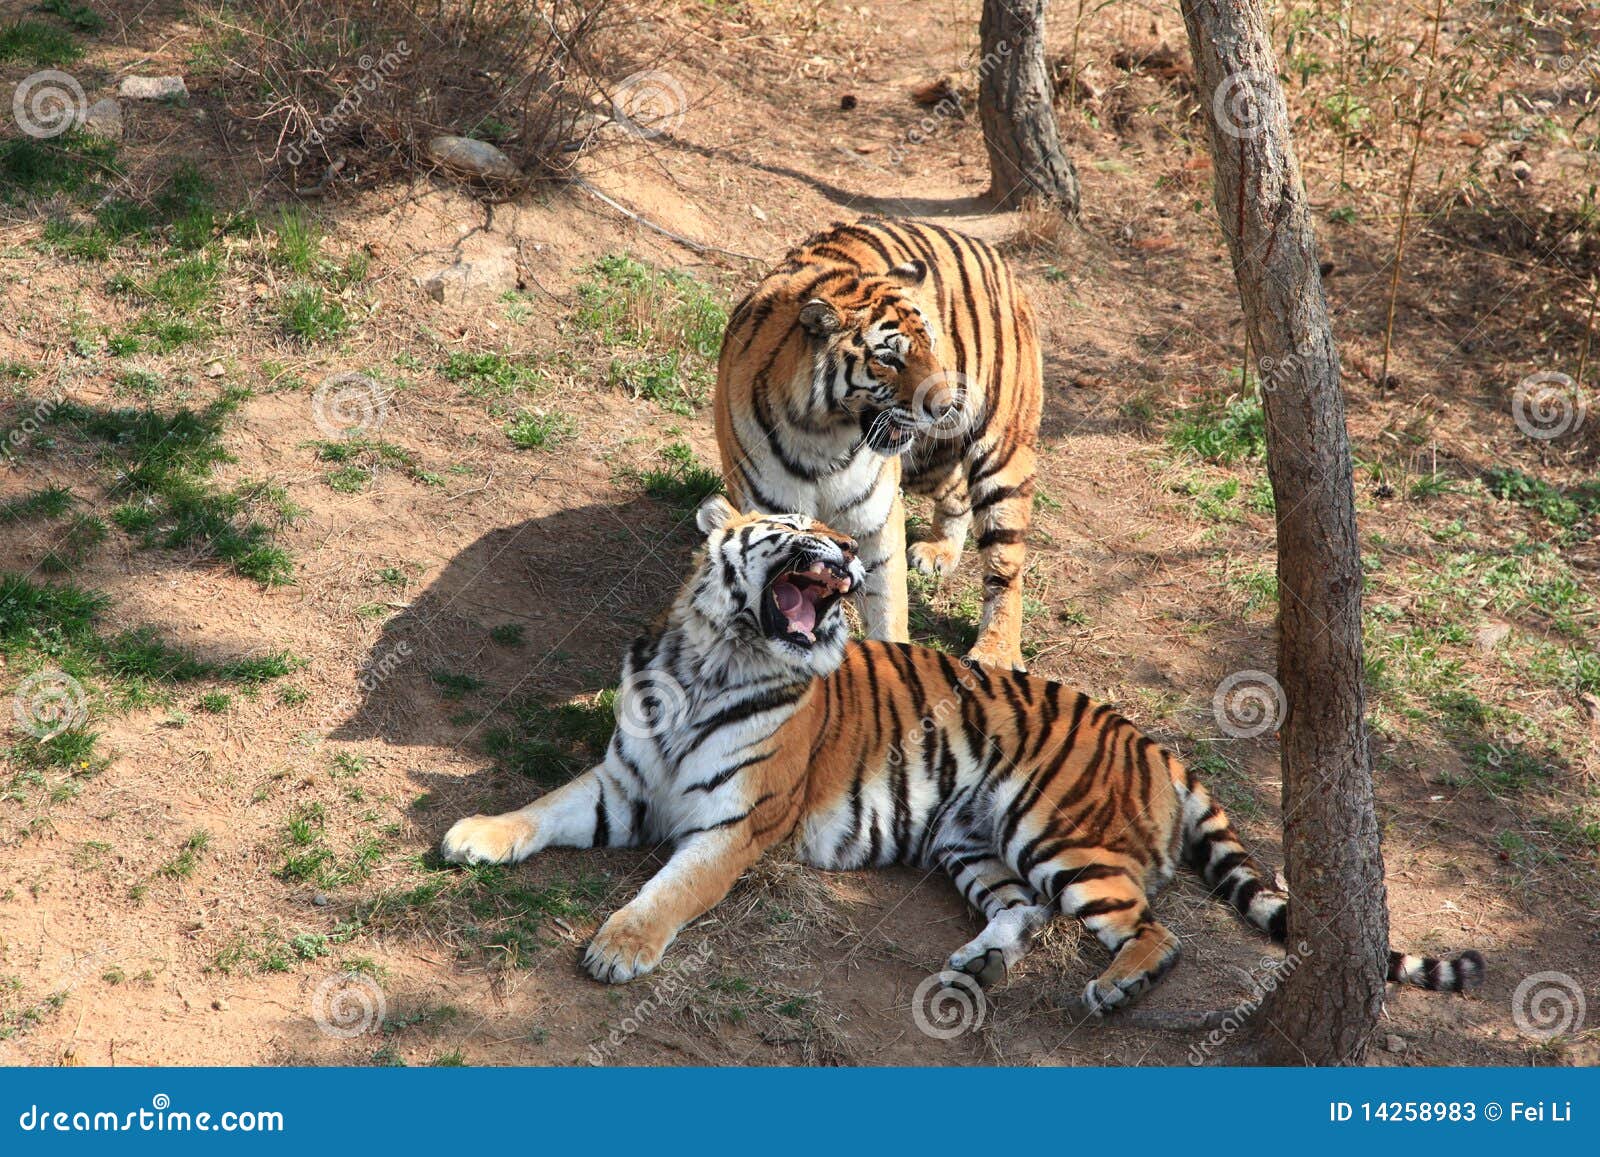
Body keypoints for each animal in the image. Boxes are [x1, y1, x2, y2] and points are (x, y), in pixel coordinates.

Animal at [441, 497, 1484, 1014]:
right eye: (801, 531)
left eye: (837, 538)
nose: (850, 556)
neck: (712, 657)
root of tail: (1153, 743)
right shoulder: (625, 782)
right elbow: (541, 805)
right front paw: (475, 834)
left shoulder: (734, 826)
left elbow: (667, 891)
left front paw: (619, 948)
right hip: (969, 839)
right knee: (1024, 911)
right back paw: (974, 971)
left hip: (1052, 827)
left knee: (1156, 929)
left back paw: (1116, 987)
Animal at [713, 217, 1043, 672]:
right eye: (888, 359)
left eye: (931, 344)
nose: (945, 406)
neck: (822, 435)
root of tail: (991, 251)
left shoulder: (877, 520)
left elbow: (887, 607)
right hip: (928, 462)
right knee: (957, 490)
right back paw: (940, 551)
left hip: (1001, 451)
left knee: (1005, 562)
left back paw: (996, 653)